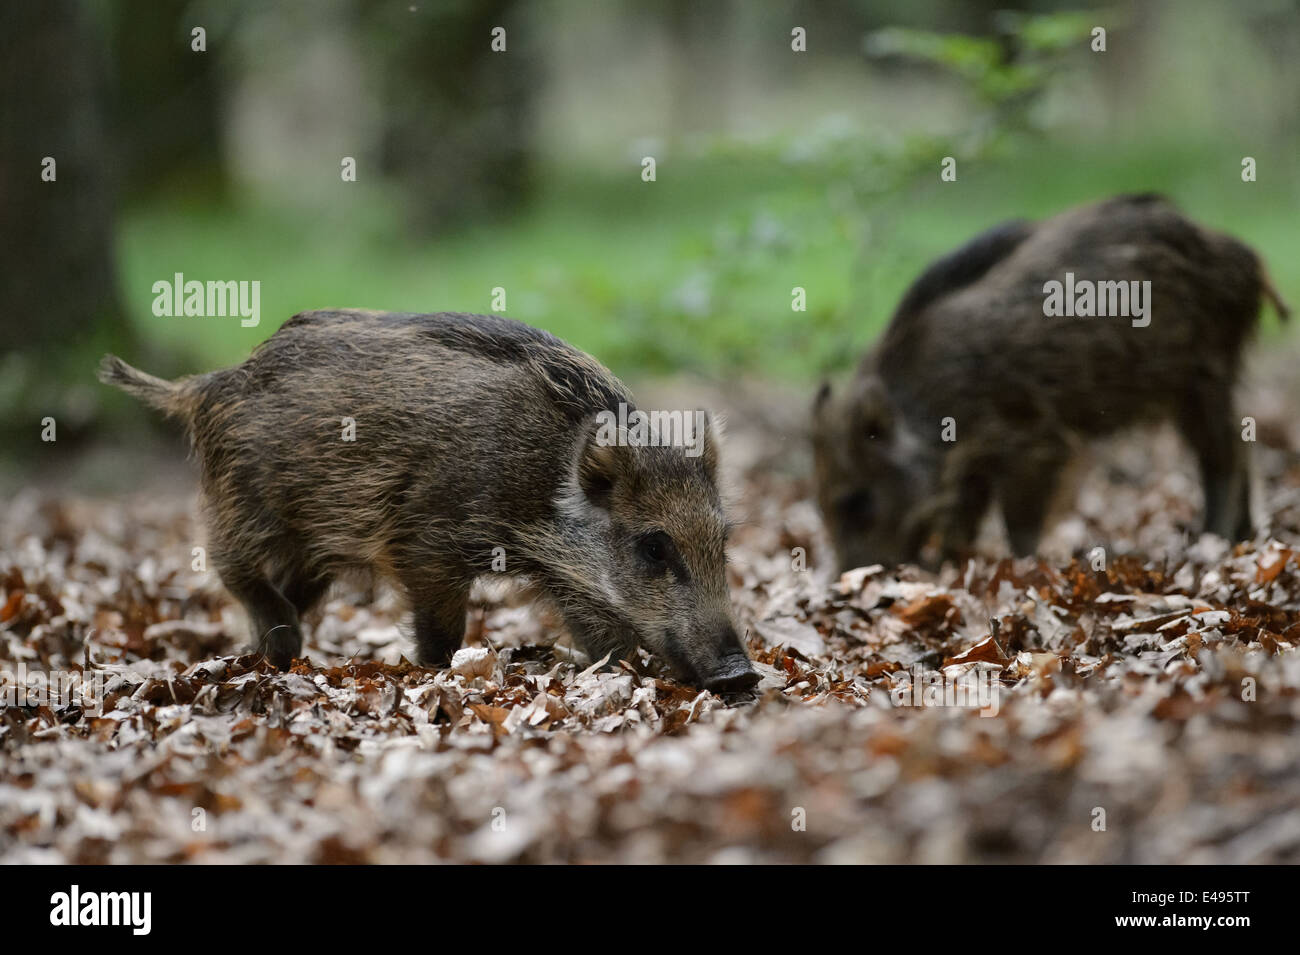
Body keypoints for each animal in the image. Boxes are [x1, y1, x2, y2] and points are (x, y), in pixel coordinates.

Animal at [99, 309, 758, 693]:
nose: (743, 674)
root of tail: (202, 387)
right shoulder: (425, 546)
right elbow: (440, 634)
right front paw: (436, 676)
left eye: (723, 540)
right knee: (227, 562)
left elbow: (609, 637)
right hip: (244, 501)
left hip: (312, 546)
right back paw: (281, 644)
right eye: (654, 546)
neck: (540, 481)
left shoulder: (571, 580)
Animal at [813, 194, 1291, 571]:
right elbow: (964, 520)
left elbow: (1018, 522)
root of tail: (1244, 255)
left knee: (1224, 454)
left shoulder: (1032, 441)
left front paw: (1022, 566)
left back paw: (1216, 538)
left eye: (857, 500)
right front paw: (949, 565)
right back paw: (1239, 538)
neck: (927, 399)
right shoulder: (972, 462)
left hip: (1204, 373)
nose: (848, 579)